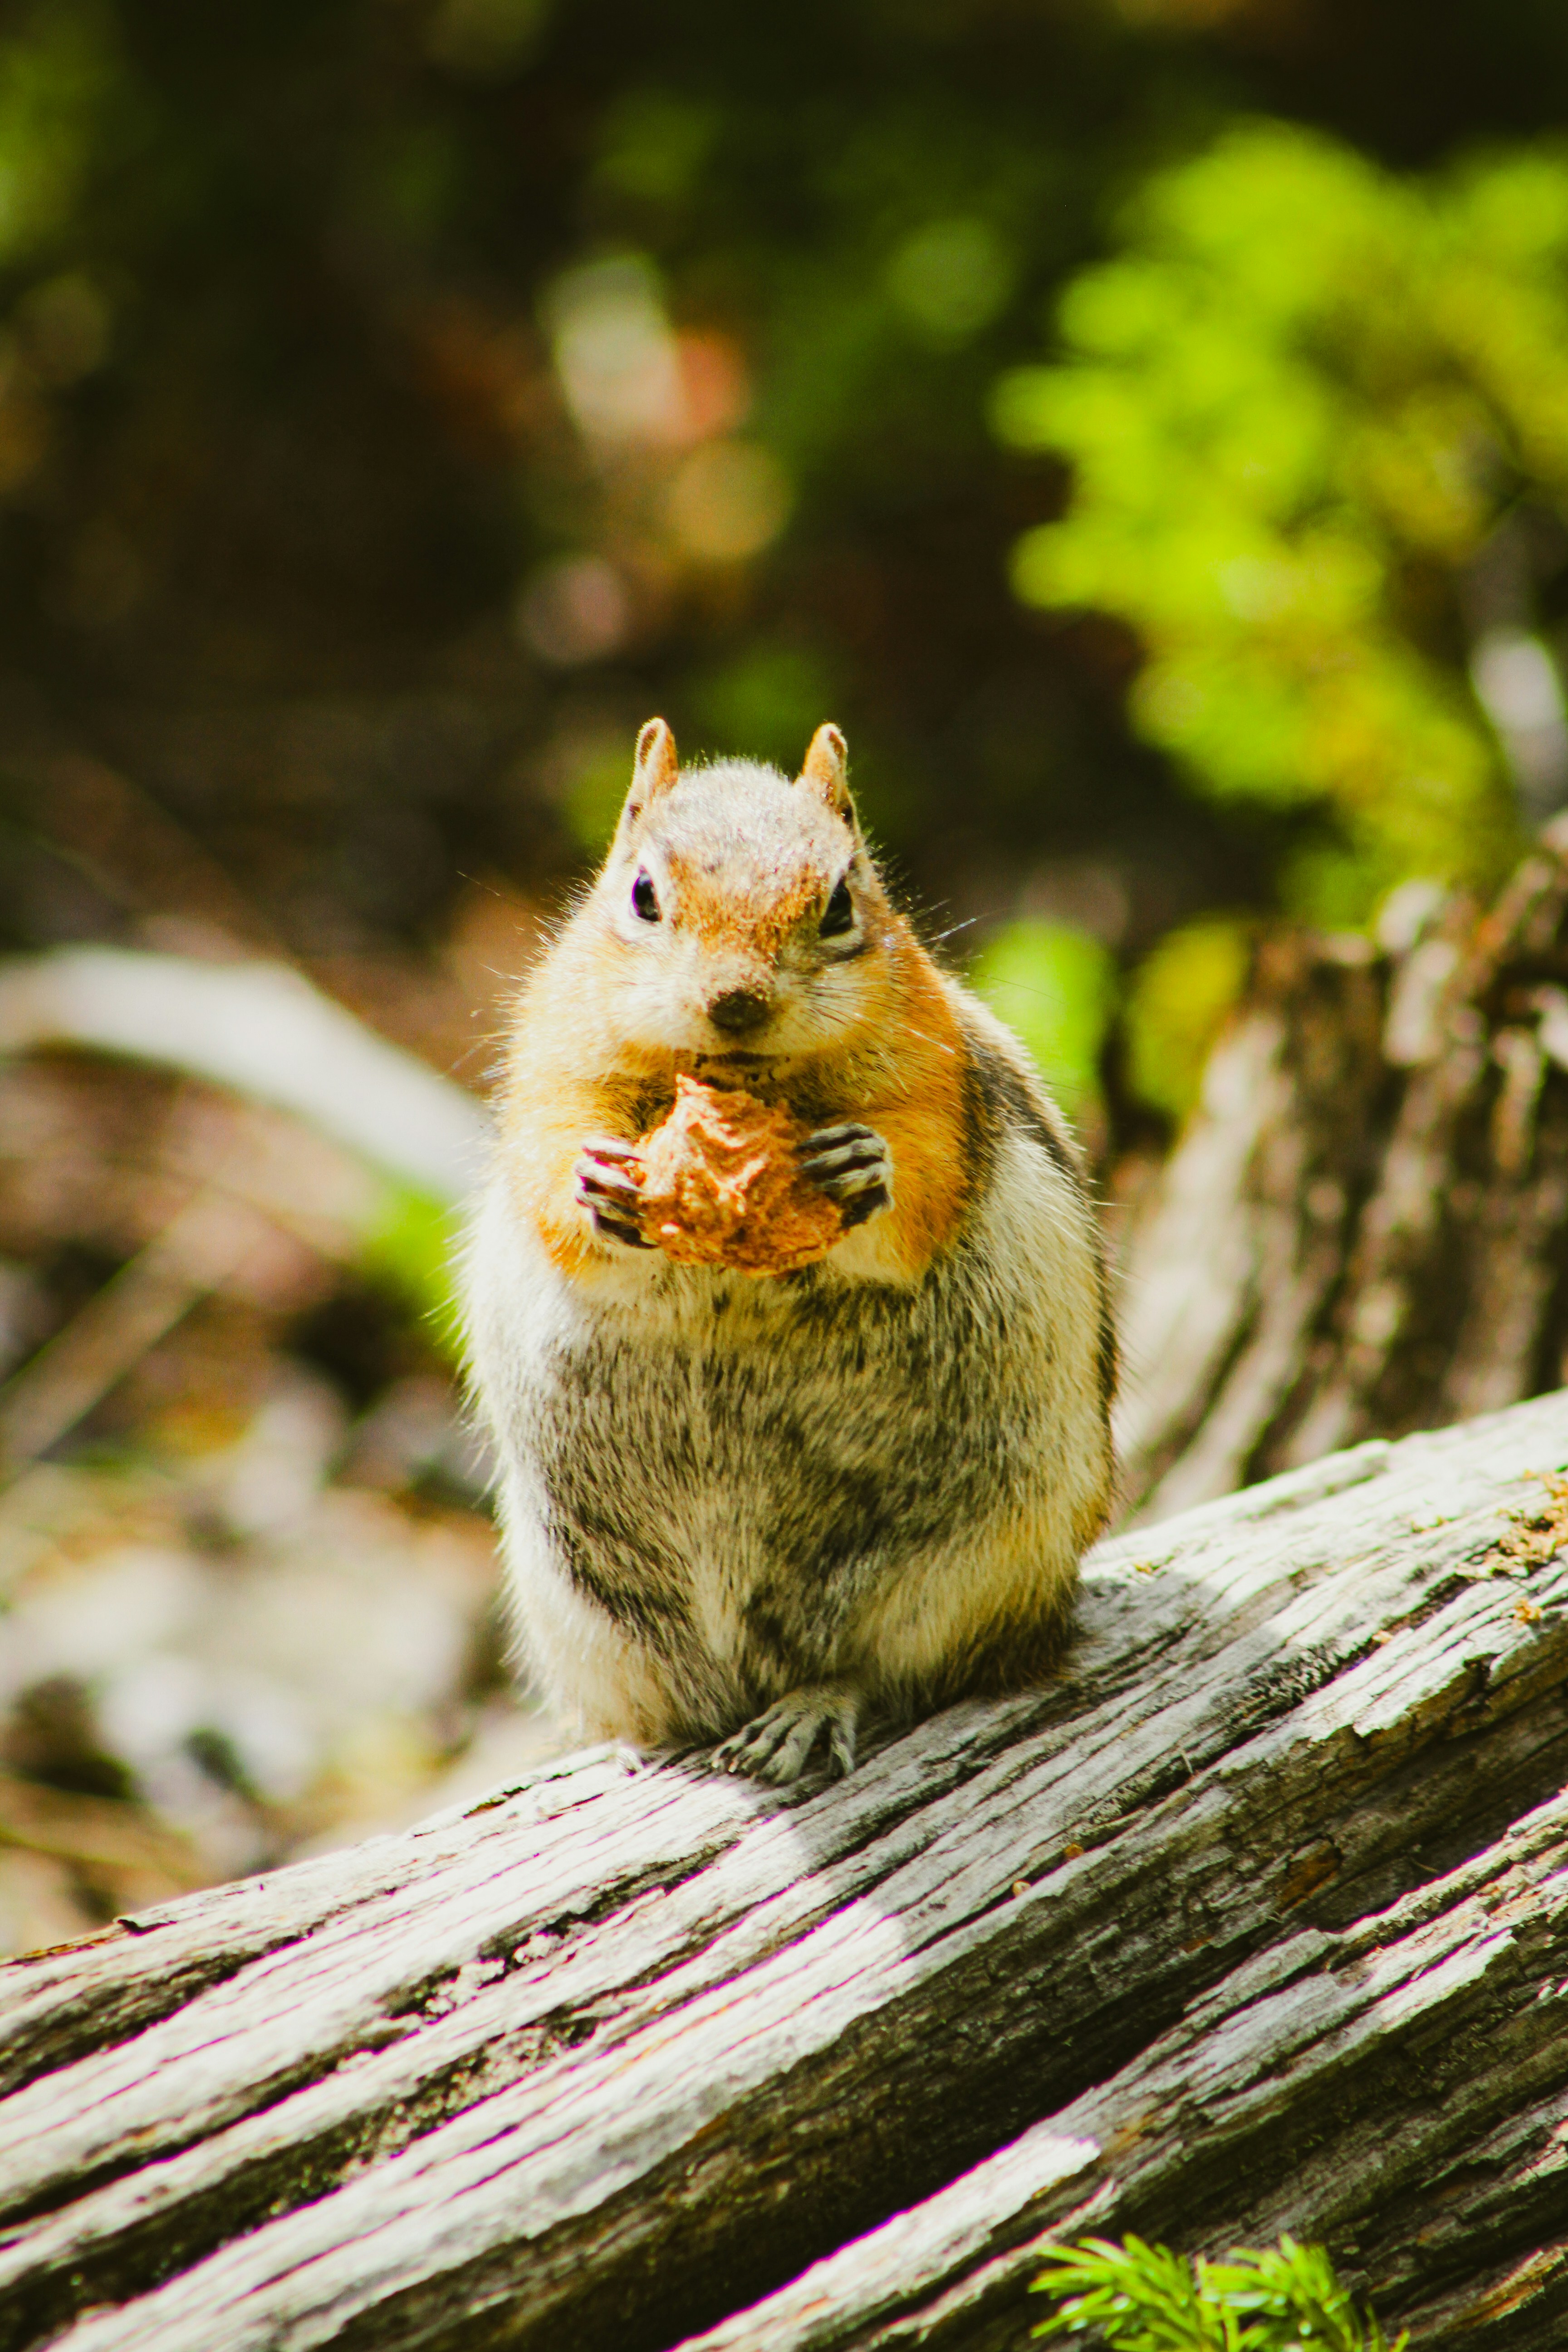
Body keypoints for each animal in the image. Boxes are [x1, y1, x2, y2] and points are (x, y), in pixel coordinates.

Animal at [465, 718, 1115, 1783]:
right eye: (642, 895)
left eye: (843, 900)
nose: (735, 1000)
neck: (740, 1080)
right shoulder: (553, 1067)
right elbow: (554, 1171)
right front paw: (597, 1187)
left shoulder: (937, 1084)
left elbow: (921, 1186)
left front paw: (864, 1169)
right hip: (583, 1606)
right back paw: (645, 1742)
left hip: (965, 1568)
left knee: (880, 1671)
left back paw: (805, 1713)